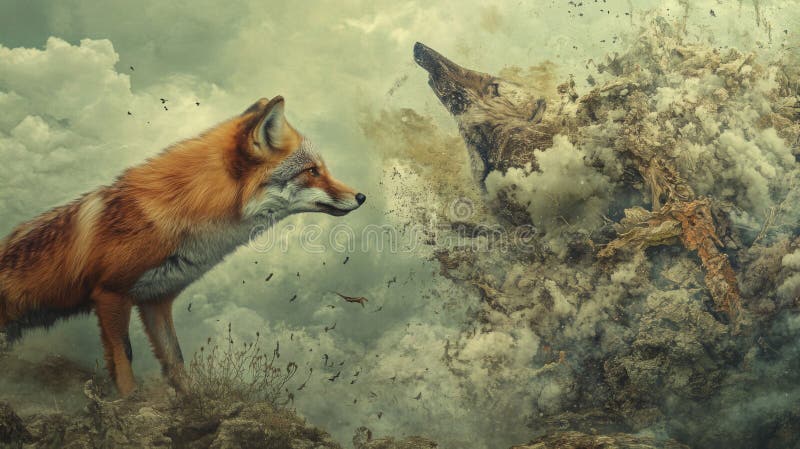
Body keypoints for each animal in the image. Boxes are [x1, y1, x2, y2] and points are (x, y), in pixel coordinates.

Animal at [0, 96, 366, 396]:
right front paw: (130, 404)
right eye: (312, 171)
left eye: (322, 169)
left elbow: (175, 360)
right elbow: (124, 360)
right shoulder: (110, 295)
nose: (361, 196)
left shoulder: (157, 299)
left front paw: (191, 403)